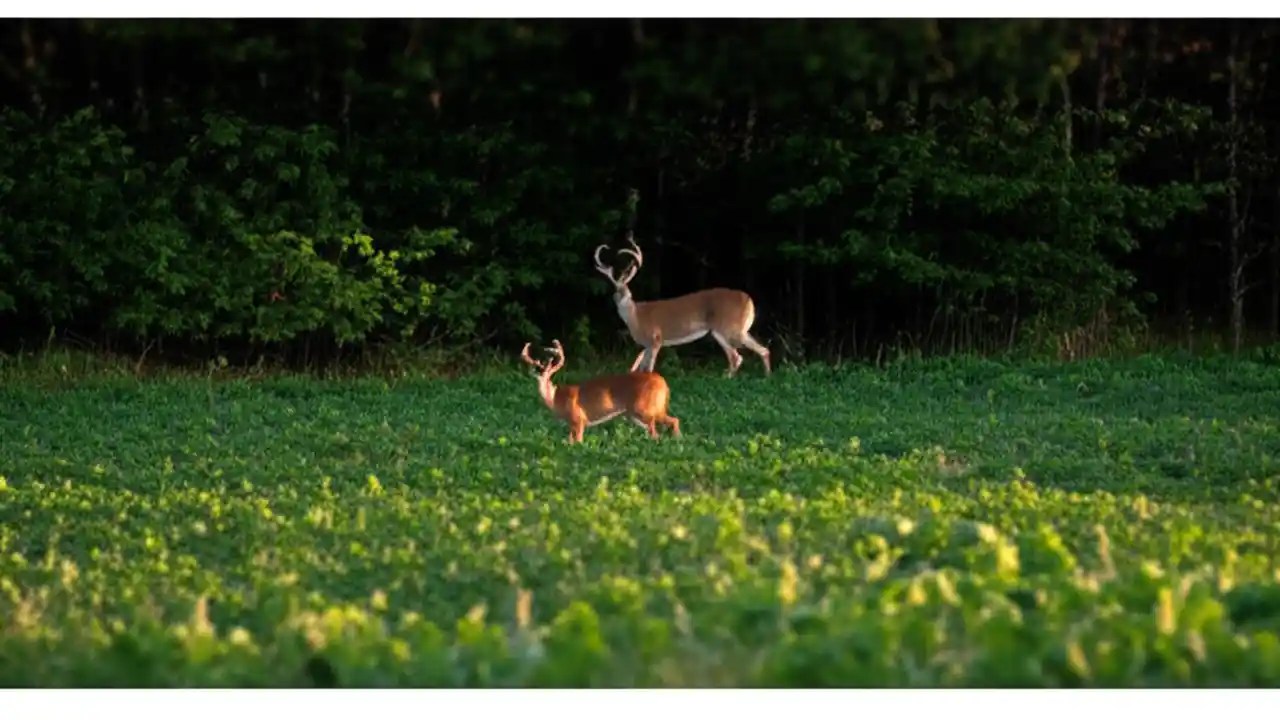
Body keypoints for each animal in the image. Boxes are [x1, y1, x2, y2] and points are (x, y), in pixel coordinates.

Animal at [520, 338, 681, 444]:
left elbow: (578, 442)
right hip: (636, 414)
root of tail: (663, 383)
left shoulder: (579, 419)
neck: (556, 399)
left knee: (667, 424)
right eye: (538, 376)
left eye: (549, 378)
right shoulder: (571, 425)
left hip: (645, 408)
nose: (542, 384)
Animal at [593, 235, 771, 377]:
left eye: (628, 290)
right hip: (728, 330)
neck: (635, 317)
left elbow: (649, 368)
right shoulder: (646, 345)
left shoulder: (655, 338)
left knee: (742, 355)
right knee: (749, 353)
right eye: (615, 292)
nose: (623, 297)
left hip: (728, 327)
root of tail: (749, 300)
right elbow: (639, 367)